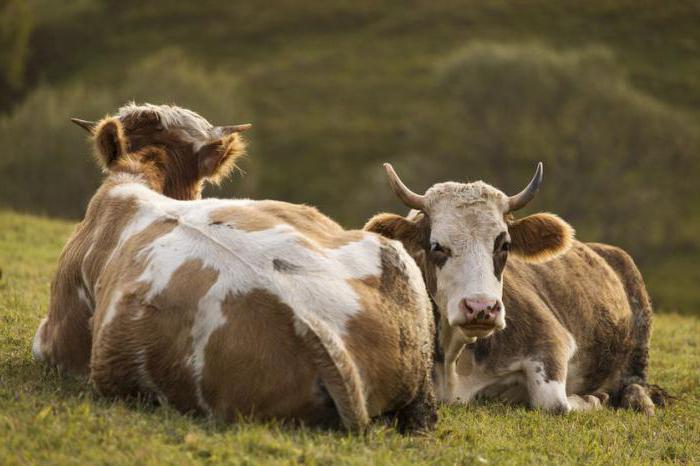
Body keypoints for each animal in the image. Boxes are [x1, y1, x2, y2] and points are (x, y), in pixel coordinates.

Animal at [366, 163, 668, 416]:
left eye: (504, 245)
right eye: (436, 246)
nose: (481, 308)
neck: (454, 357)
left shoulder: (552, 341)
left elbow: (554, 403)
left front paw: (594, 398)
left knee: (635, 384)